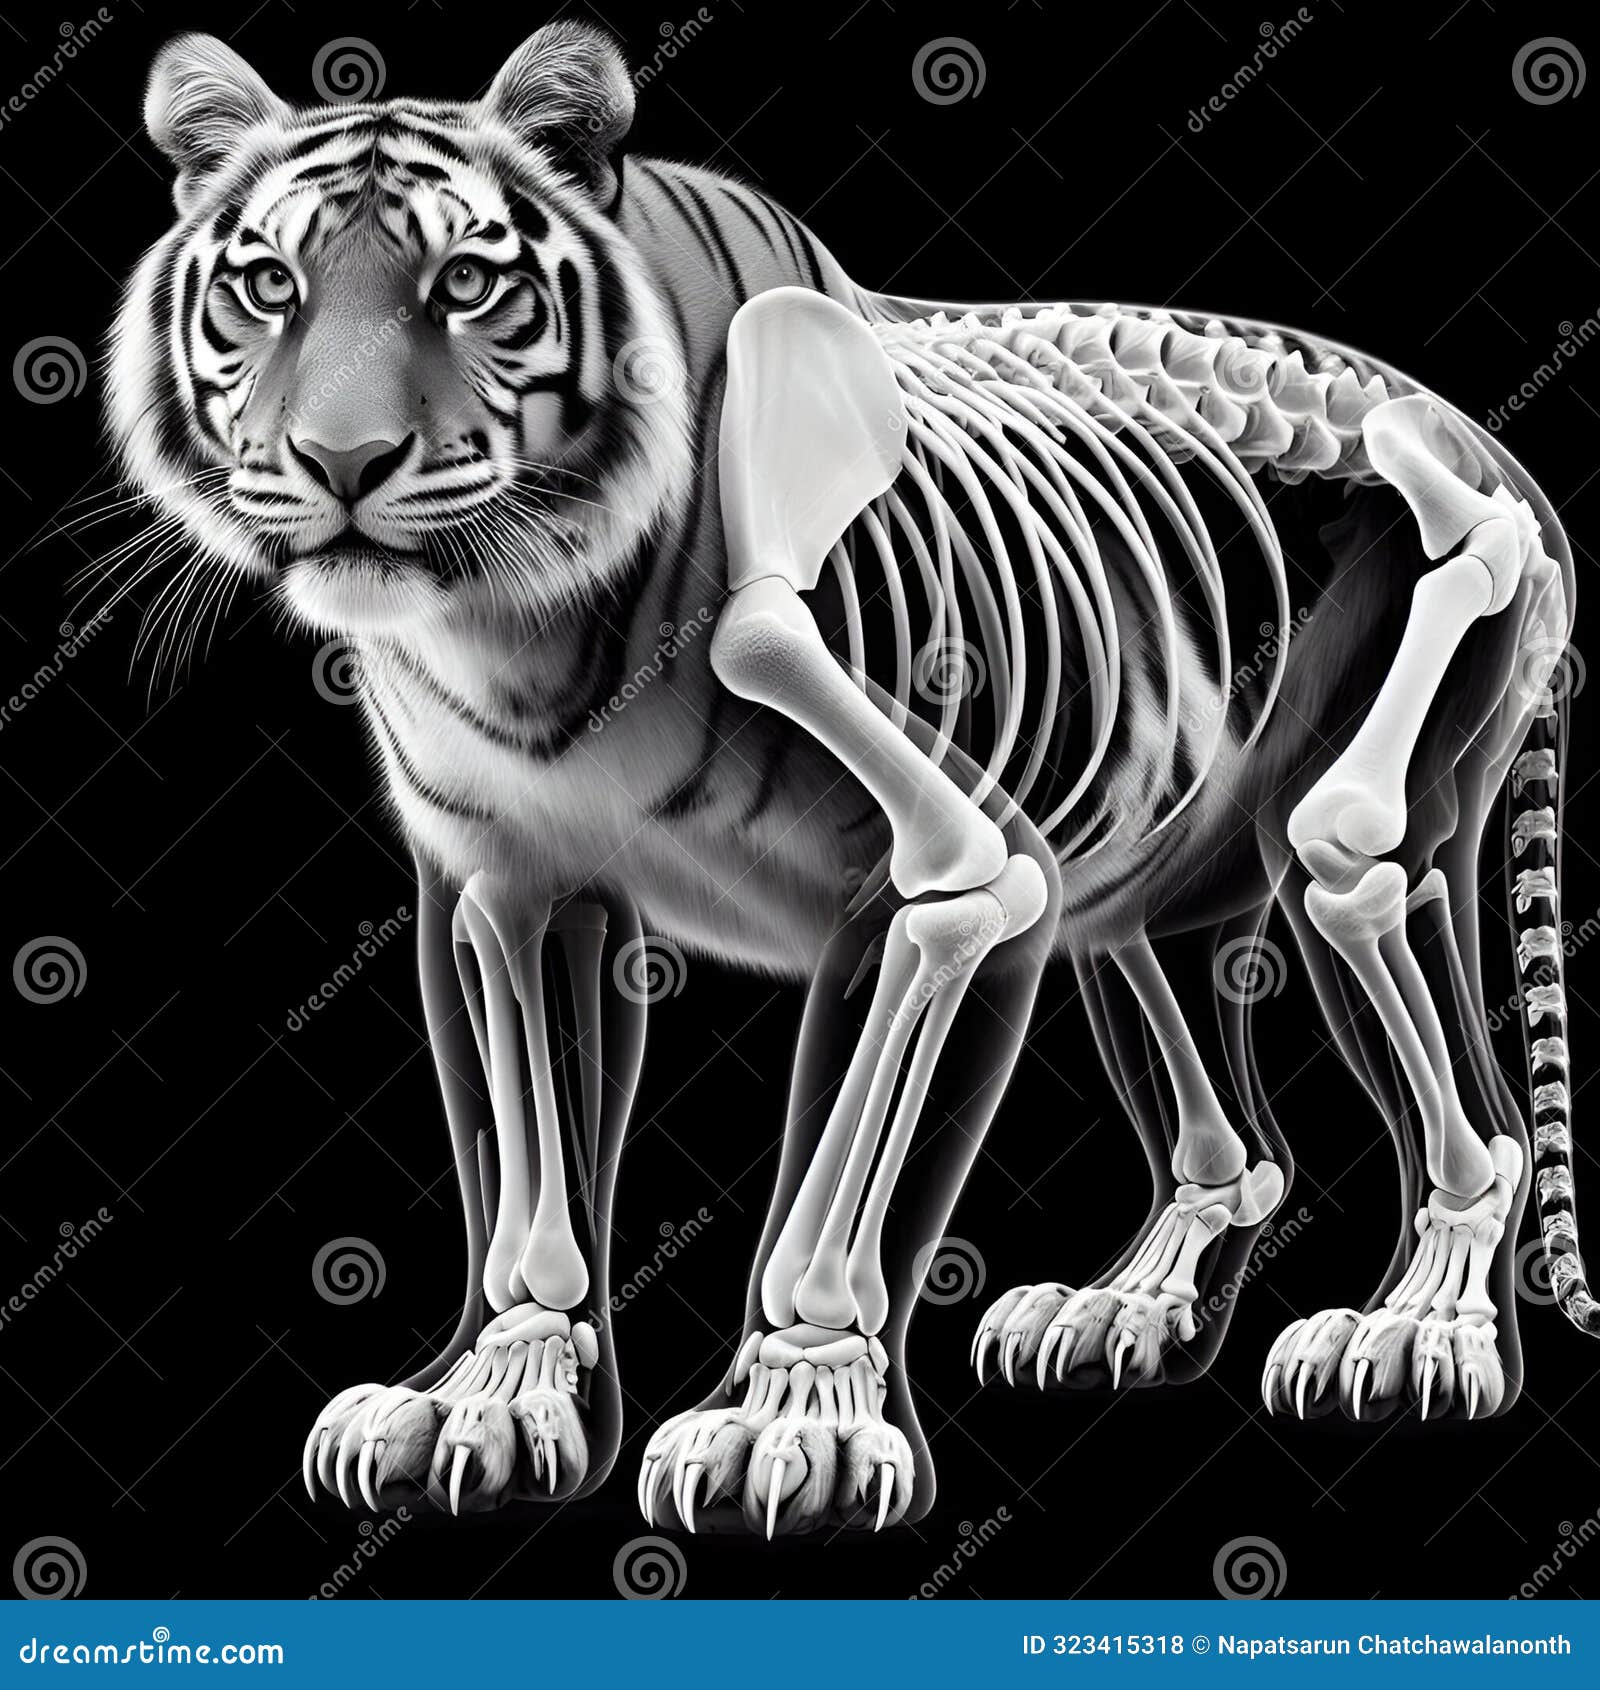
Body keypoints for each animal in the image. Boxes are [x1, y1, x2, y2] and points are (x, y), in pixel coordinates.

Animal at [105, 23, 1585, 1540]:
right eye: (269, 287)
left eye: (465, 282)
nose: (341, 462)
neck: (514, 624)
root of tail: (1474, 434)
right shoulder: (502, 878)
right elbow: (525, 1161)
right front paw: (490, 1401)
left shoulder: (956, 867)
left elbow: (848, 1163)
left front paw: (790, 1423)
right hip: (1148, 879)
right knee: (1231, 1132)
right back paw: (1118, 1312)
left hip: (1373, 811)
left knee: (1425, 1004)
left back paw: (1415, 1330)